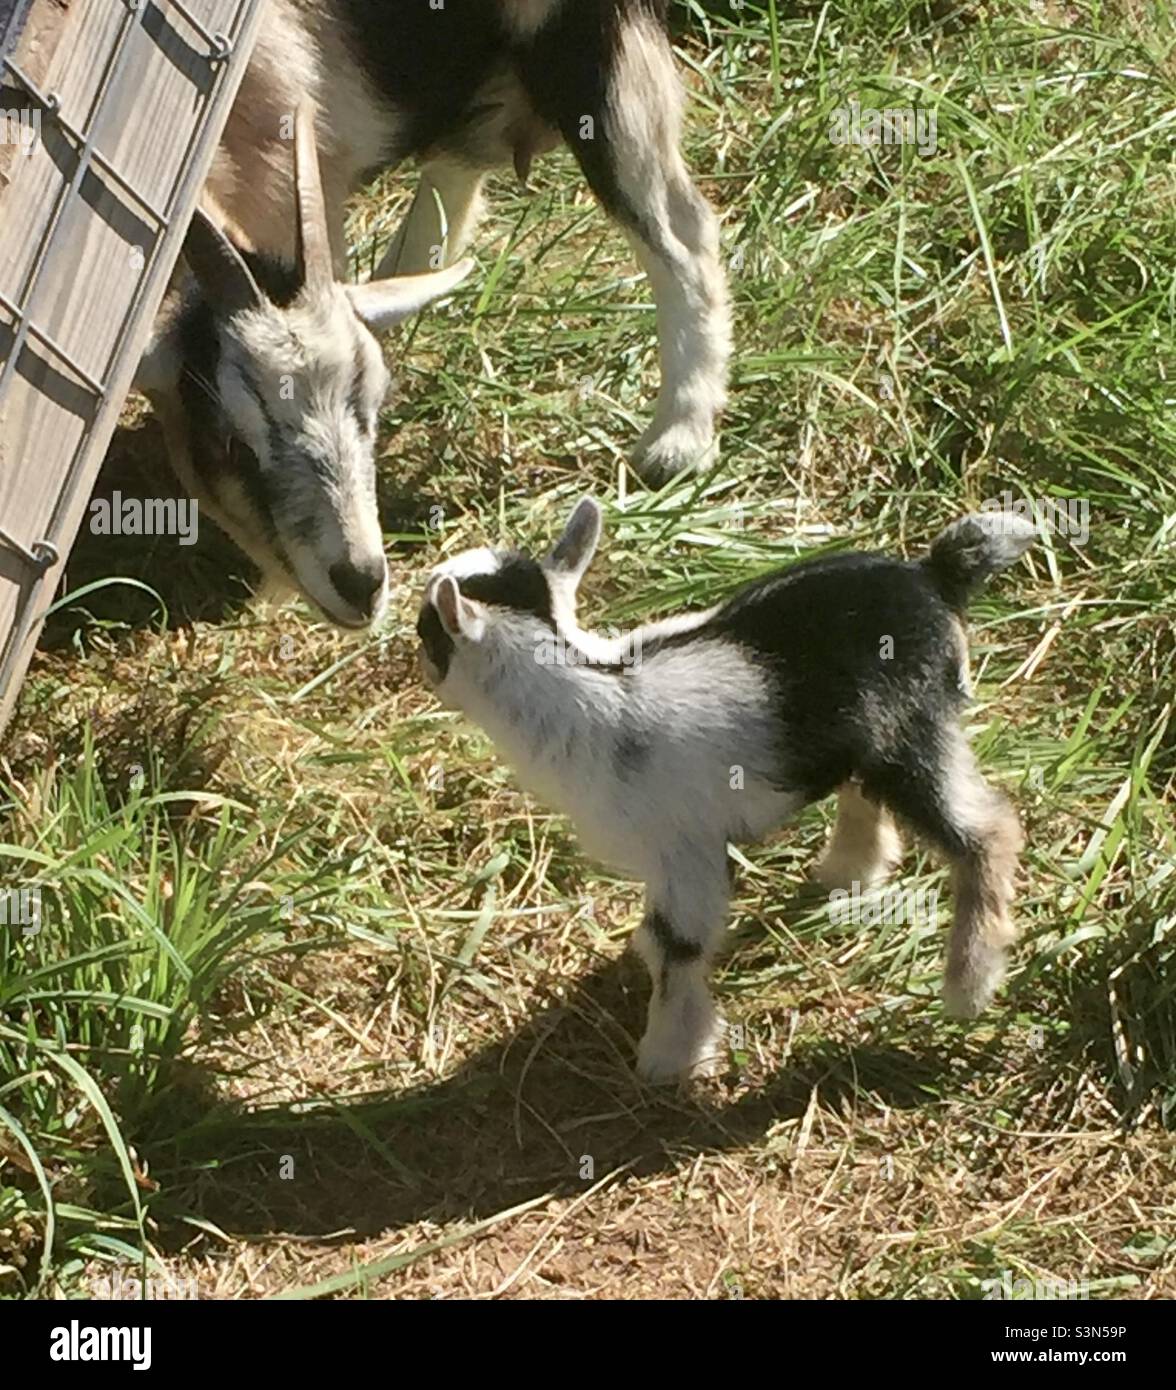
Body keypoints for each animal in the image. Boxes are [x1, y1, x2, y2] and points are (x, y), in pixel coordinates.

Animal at [137, 1, 729, 624]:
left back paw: (679, 439)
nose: (362, 582)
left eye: (372, 408)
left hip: (600, 56)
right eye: (229, 444)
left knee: (680, 231)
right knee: (459, 171)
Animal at [415, 500, 1036, 1081]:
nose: (419, 666)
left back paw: (968, 986)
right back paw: (848, 873)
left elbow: (677, 944)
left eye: (428, 631)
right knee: (862, 791)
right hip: (870, 738)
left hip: (913, 732)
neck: (584, 688)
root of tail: (934, 575)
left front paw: (669, 1058)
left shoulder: (683, 852)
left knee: (986, 832)